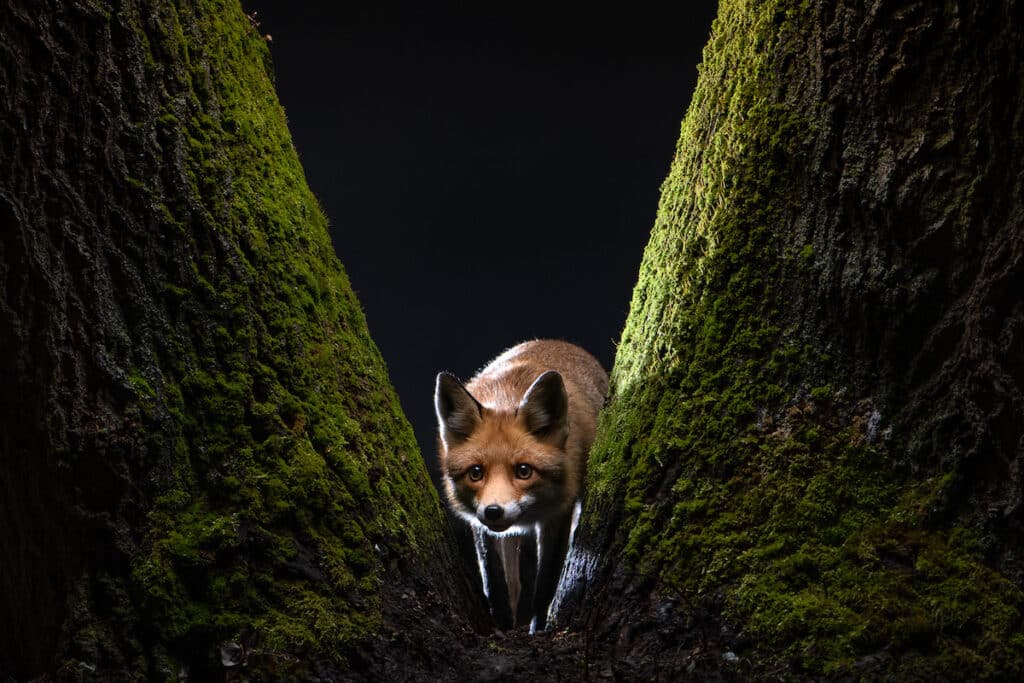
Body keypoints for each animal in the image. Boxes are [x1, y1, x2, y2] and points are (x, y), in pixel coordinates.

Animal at [434, 339, 608, 631]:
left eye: (524, 471)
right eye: (476, 473)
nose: (494, 511)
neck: (506, 396)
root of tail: (557, 341)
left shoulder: (558, 516)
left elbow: (545, 583)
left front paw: (537, 628)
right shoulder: (481, 524)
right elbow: (495, 582)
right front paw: (502, 625)